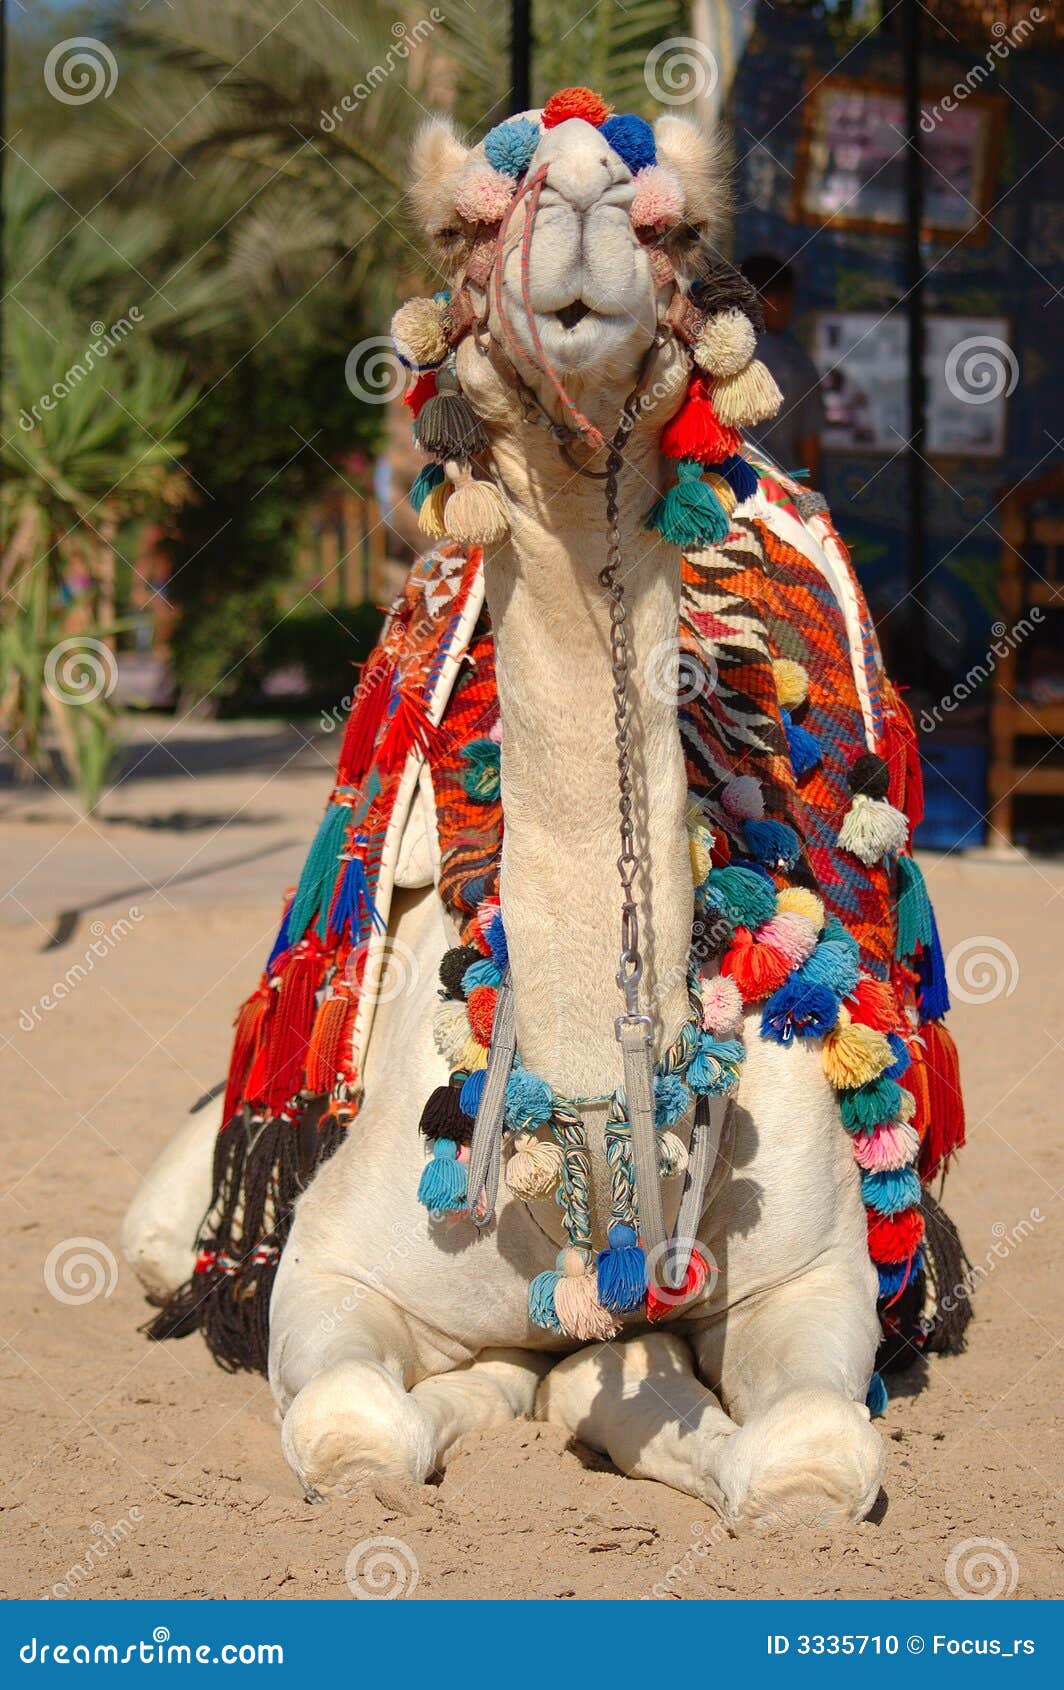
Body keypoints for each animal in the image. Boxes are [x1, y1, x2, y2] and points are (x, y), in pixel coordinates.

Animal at [123, 93, 967, 1532]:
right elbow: (357, 1421)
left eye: (676, 221)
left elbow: (809, 1450)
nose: (575, 184)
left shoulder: (812, 1272)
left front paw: (614, 1392)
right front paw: (514, 1389)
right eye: (463, 223)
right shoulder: (329, 1267)